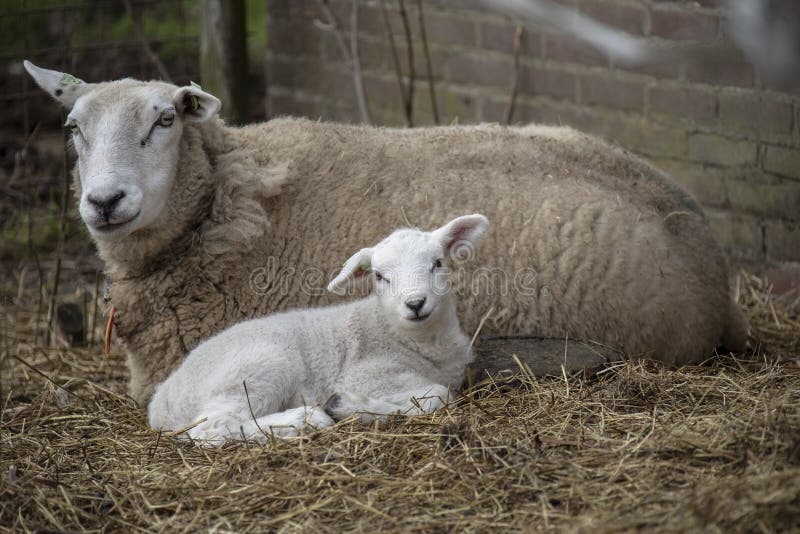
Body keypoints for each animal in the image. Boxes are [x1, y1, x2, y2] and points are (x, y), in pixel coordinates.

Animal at [147, 214, 487, 444]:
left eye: (437, 263)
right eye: (379, 276)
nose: (415, 303)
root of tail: (160, 403)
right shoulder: (365, 374)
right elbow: (440, 395)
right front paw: (351, 406)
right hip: (260, 365)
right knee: (211, 427)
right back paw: (304, 420)